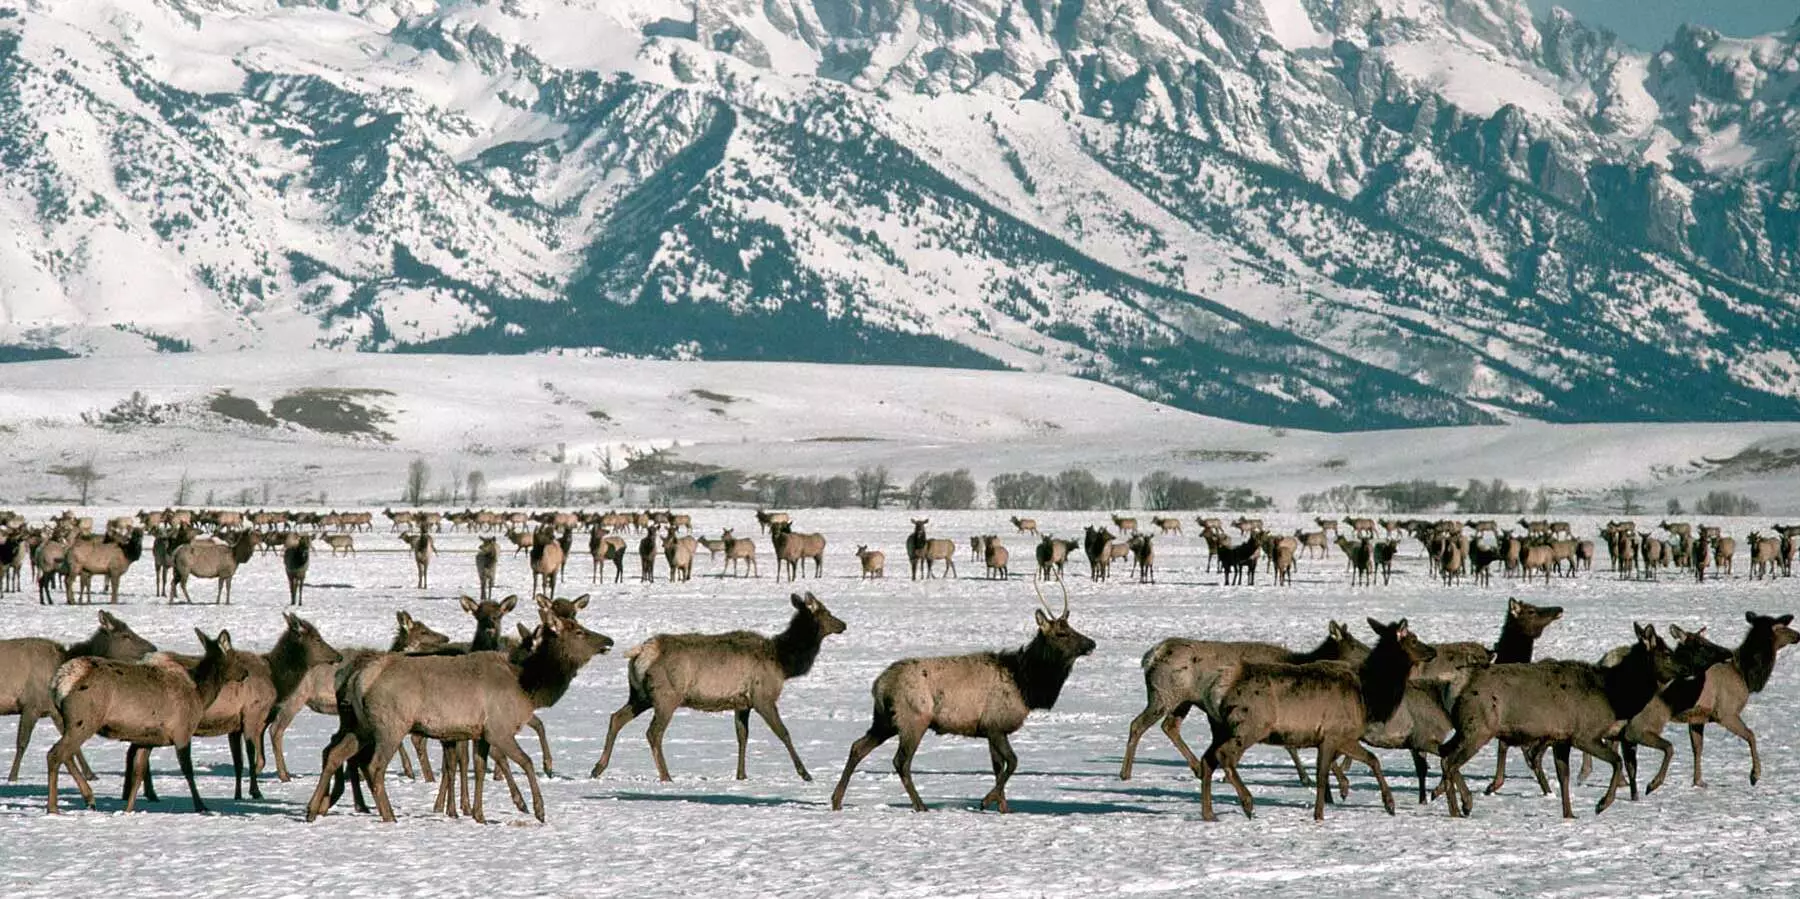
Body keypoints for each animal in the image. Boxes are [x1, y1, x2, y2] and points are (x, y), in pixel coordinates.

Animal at [48, 634, 250, 817]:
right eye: (235, 656)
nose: (246, 673)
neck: (200, 695)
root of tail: (60, 683)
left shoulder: (146, 740)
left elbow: (138, 774)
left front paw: (128, 809)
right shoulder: (183, 732)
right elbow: (188, 771)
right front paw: (201, 806)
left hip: (71, 722)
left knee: (65, 754)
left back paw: (87, 798)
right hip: (84, 721)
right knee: (56, 753)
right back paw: (55, 807)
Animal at [307, 601, 612, 825]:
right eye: (579, 631)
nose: (608, 640)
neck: (527, 687)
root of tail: (361, 677)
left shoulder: (480, 732)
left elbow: (479, 769)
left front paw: (479, 815)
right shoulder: (499, 728)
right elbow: (525, 762)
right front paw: (537, 809)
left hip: (360, 725)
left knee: (334, 753)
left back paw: (313, 809)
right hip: (390, 725)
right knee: (373, 766)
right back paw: (389, 815)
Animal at [590, 594, 842, 785]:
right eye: (826, 612)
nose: (843, 624)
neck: (784, 662)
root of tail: (641, 652)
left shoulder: (742, 703)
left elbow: (742, 736)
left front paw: (741, 775)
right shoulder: (763, 697)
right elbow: (784, 733)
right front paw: (805, 774)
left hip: (640, 695)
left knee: (616, 718)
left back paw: (597, 768)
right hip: (666, 696)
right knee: (653, 732)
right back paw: (666, 776)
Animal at [828, 583, 1094, 817]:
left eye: (1073, 628)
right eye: (1062, 633)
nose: (1091, 643)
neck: (1027, 684)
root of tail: (879, 684)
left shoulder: (991, 729)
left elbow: (998, 767)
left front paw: (1003, 808)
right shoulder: (995, 725)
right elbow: (1013, 763)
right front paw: (985, 801)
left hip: (885, 720)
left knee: (858, 747)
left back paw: (836, 800)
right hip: (914, 718)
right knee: (900, 761)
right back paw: (920, 805)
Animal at [1202, 619, 1440, 825]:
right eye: (1413, 639)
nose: (1433, 651)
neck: (1367, 697)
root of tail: (1220, 686)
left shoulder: (1341, 737)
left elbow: (1370, 760)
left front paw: (1385, 804)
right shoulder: (1334, 733)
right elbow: (1325, 774)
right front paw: (1322, 813)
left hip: (1221, 728)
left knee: (1207, 759)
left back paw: (1209, 813)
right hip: (1250, 725)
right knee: (1224, 755)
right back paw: (1247, 804)